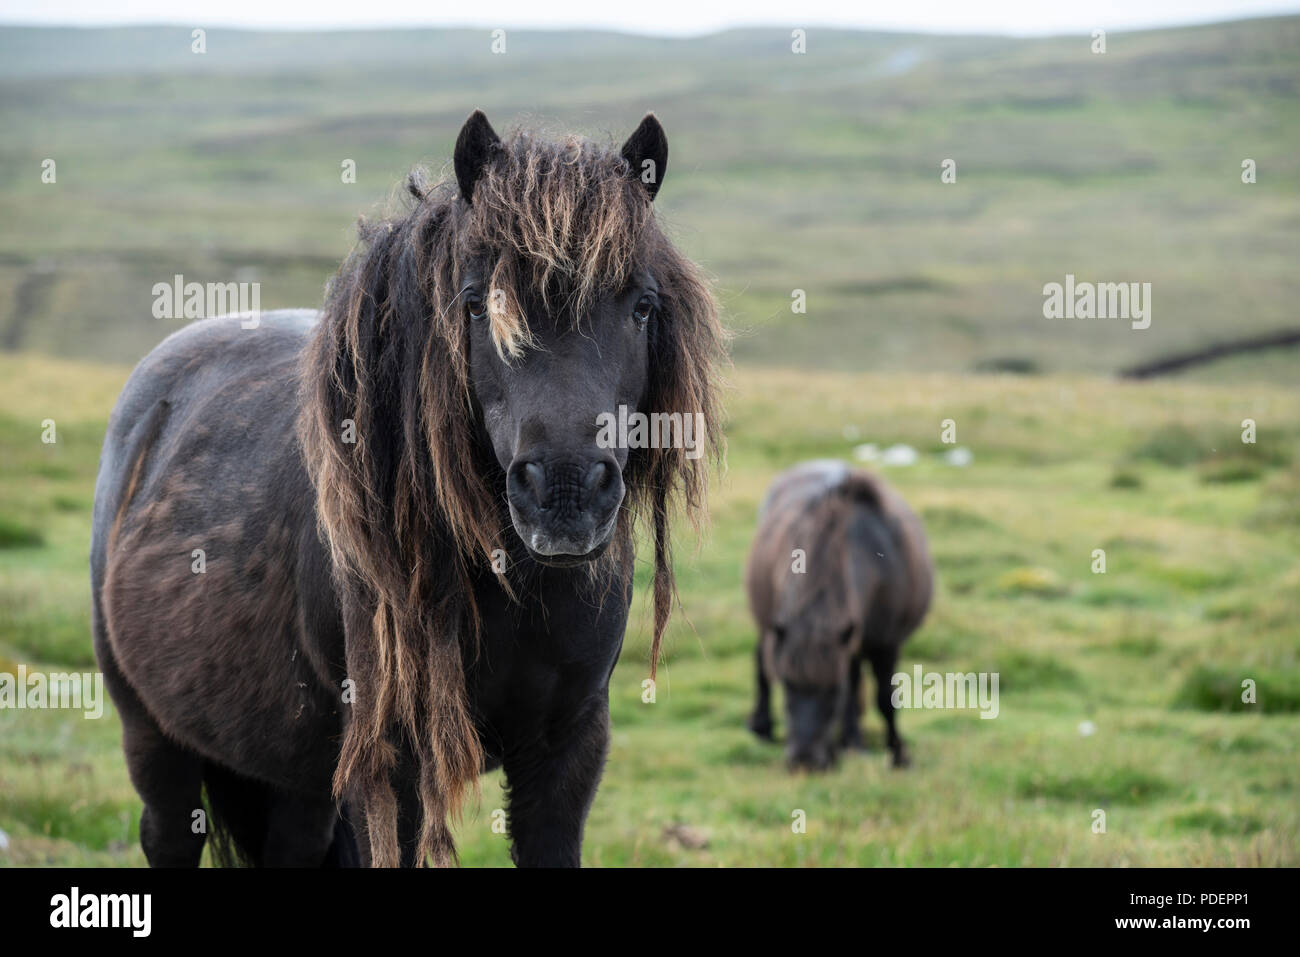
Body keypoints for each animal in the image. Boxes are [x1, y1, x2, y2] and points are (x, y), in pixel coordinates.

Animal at [90, 110, 726, 867]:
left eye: (642, 306)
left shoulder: (567, 748)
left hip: (297, 778)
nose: (566, 492)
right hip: (155, 741)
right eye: (477, 305)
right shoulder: (391, 764)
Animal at [744, 461, 932, 771]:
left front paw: (897, 754)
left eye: (833, 690)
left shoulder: (886, 645)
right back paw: (764, 727)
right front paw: (852, 744)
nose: (804, 761)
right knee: (761, 662)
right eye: (787, 684)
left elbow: (885, 698)